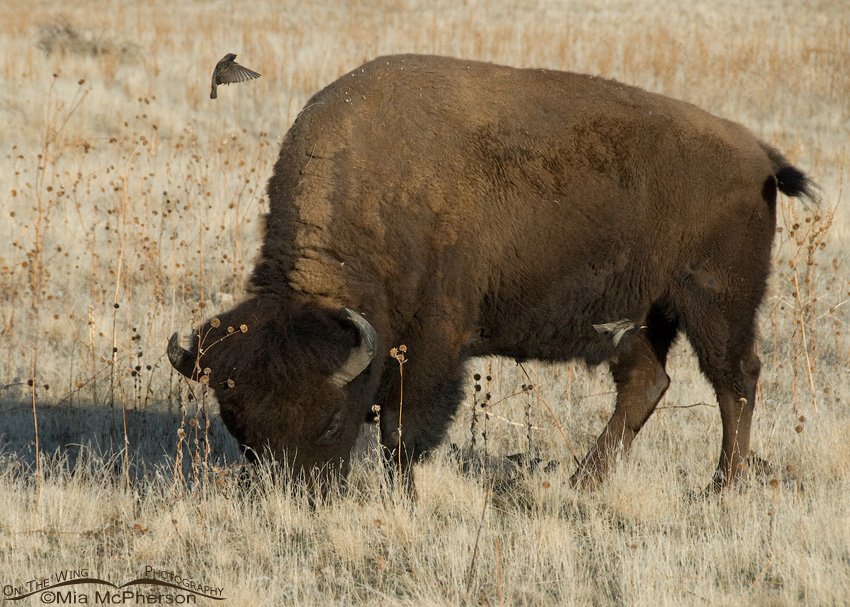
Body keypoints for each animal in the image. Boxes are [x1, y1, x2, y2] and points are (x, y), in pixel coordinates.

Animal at [168, 54, 815, 492]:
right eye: (239, 429)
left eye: (328, 422)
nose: (297, 495)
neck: (378, 196)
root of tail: (757, 155)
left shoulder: (432, 344)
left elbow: (402, 430)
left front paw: (403, 496)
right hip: (638, 318)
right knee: (646, 384)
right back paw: (582, 482)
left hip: (716, 303)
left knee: (736, 381)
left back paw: (720, 487)